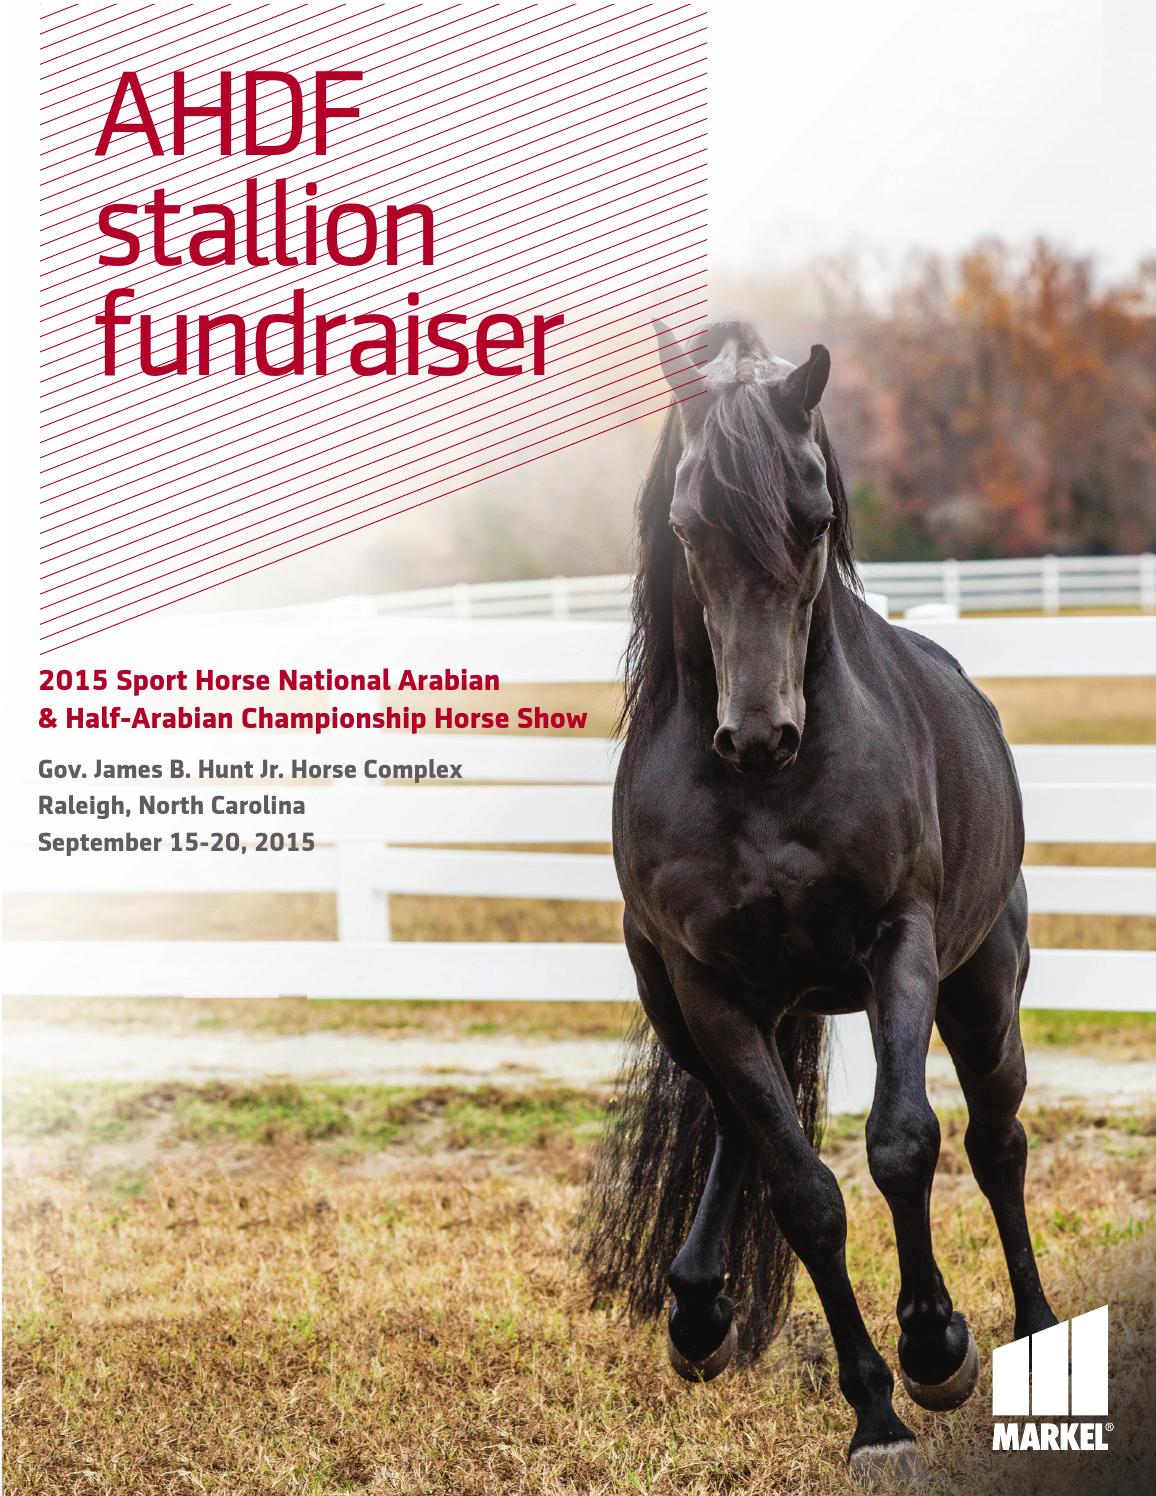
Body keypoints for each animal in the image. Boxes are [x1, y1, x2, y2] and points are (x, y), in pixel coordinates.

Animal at [580, 320, 1057, 1486]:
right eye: (686, 524)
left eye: (817, 517)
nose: (759, 734)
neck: (765, 795)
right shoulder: (707, 984)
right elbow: (802, 1189)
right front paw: (876, 1411)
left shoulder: (900, 945)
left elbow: (902, 1144)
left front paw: (935, 1348)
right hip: (696, 1003)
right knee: (735, 1121)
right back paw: (698, 1309)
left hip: (982, 993)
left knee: (997, 1143)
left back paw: (1032, 1333)